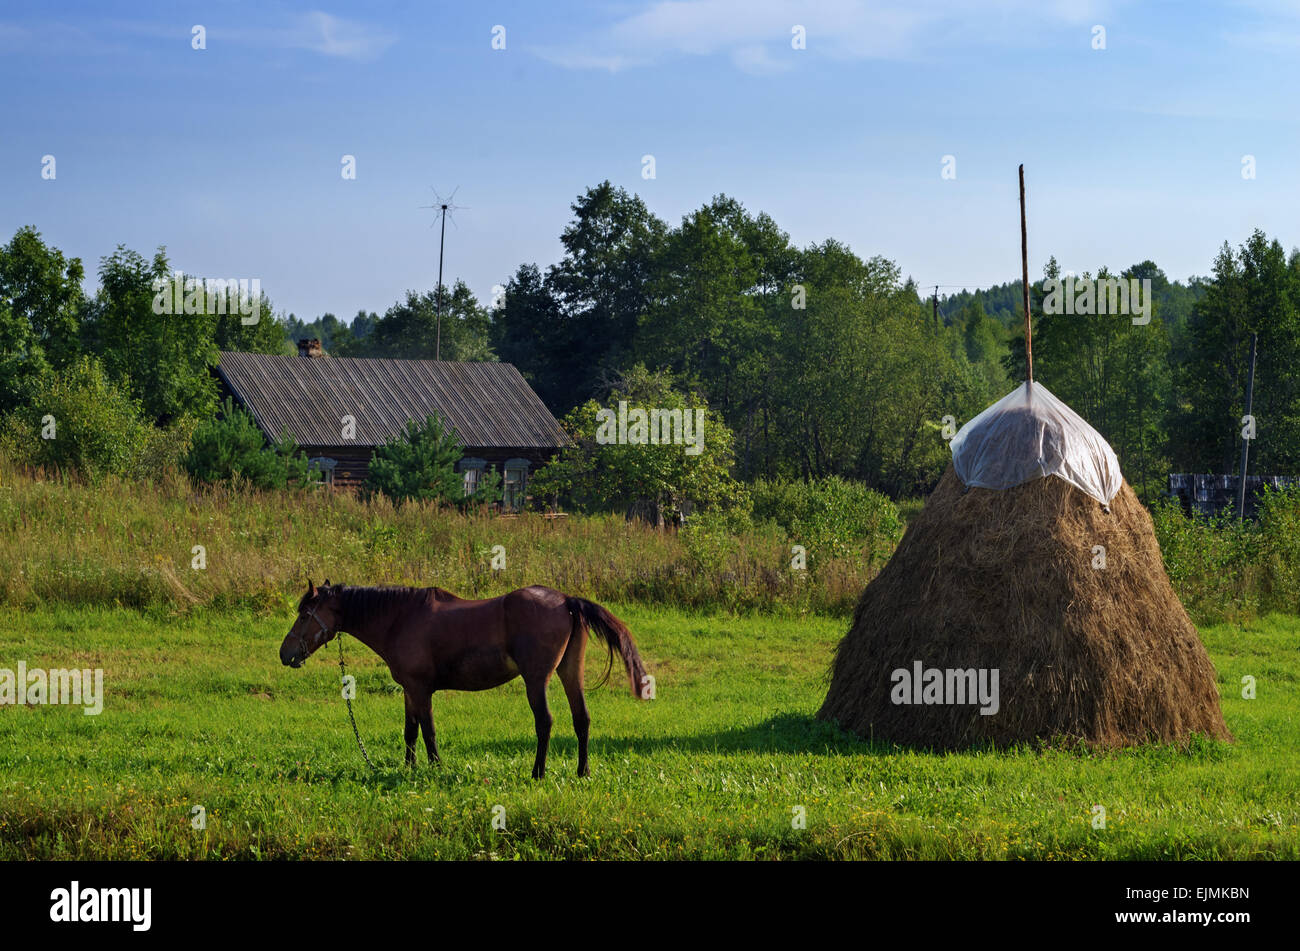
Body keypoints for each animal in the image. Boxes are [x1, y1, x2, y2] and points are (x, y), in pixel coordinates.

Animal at [279, 580, 650, 778]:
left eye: (304, 614)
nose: (285, 653)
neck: (399, 619)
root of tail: (566, 600)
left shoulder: (420, 688)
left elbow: (427, 730)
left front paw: (435, 766)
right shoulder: (409, 690)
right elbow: (410, 731)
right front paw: (410, 767)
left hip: (536, 679)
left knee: (545, 722)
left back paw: (537, 772)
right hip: (570, 671)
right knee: (581, 718)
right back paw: (581, 771)